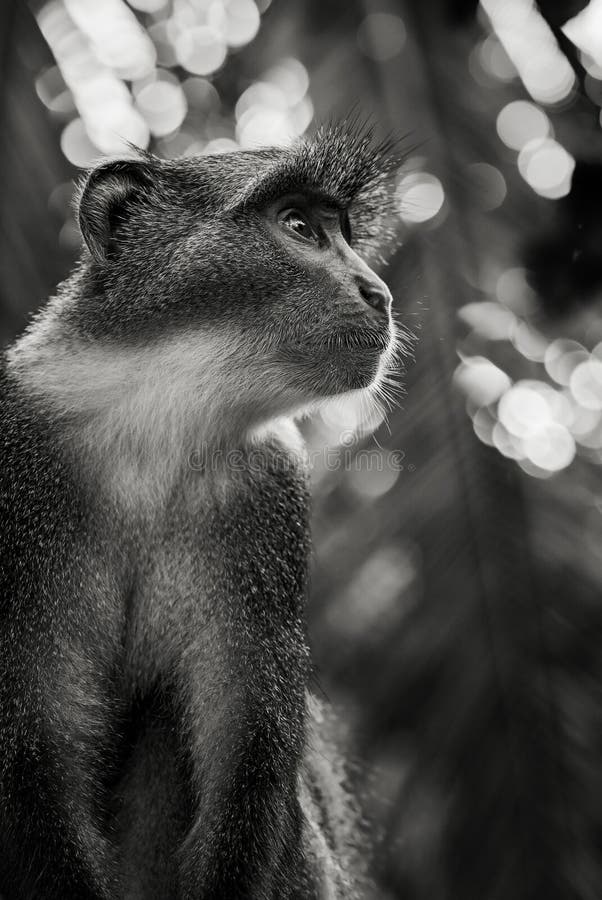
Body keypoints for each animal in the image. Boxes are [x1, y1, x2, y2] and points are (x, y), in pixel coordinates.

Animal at [0, 123, 403, 899]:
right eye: (299, 227)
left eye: (342, 231)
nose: (379, 293)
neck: (158, 419)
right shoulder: (19, 457)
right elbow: (34, 737)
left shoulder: (265, 500)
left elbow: (245, 747)